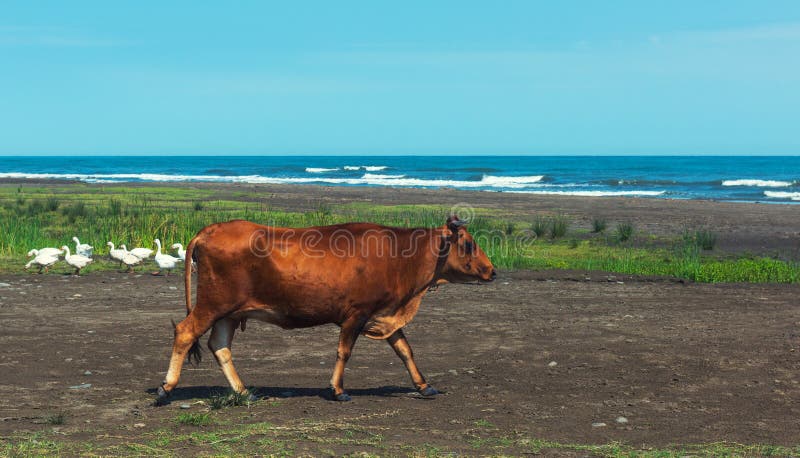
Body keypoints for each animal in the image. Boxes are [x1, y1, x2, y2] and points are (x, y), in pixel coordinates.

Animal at [155, 215, 496, 406]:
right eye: (468, 244)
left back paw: (243, 392)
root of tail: (209, 230)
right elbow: (344, 352)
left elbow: (404, 350)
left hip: (229, 313)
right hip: (213, 304)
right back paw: (167, 387)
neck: (399, 255)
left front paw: (424, 386)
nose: (492, 271)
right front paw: (338, 389)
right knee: (185, 332)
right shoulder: (357, 314)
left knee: (220, 346)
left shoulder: (385, 315)